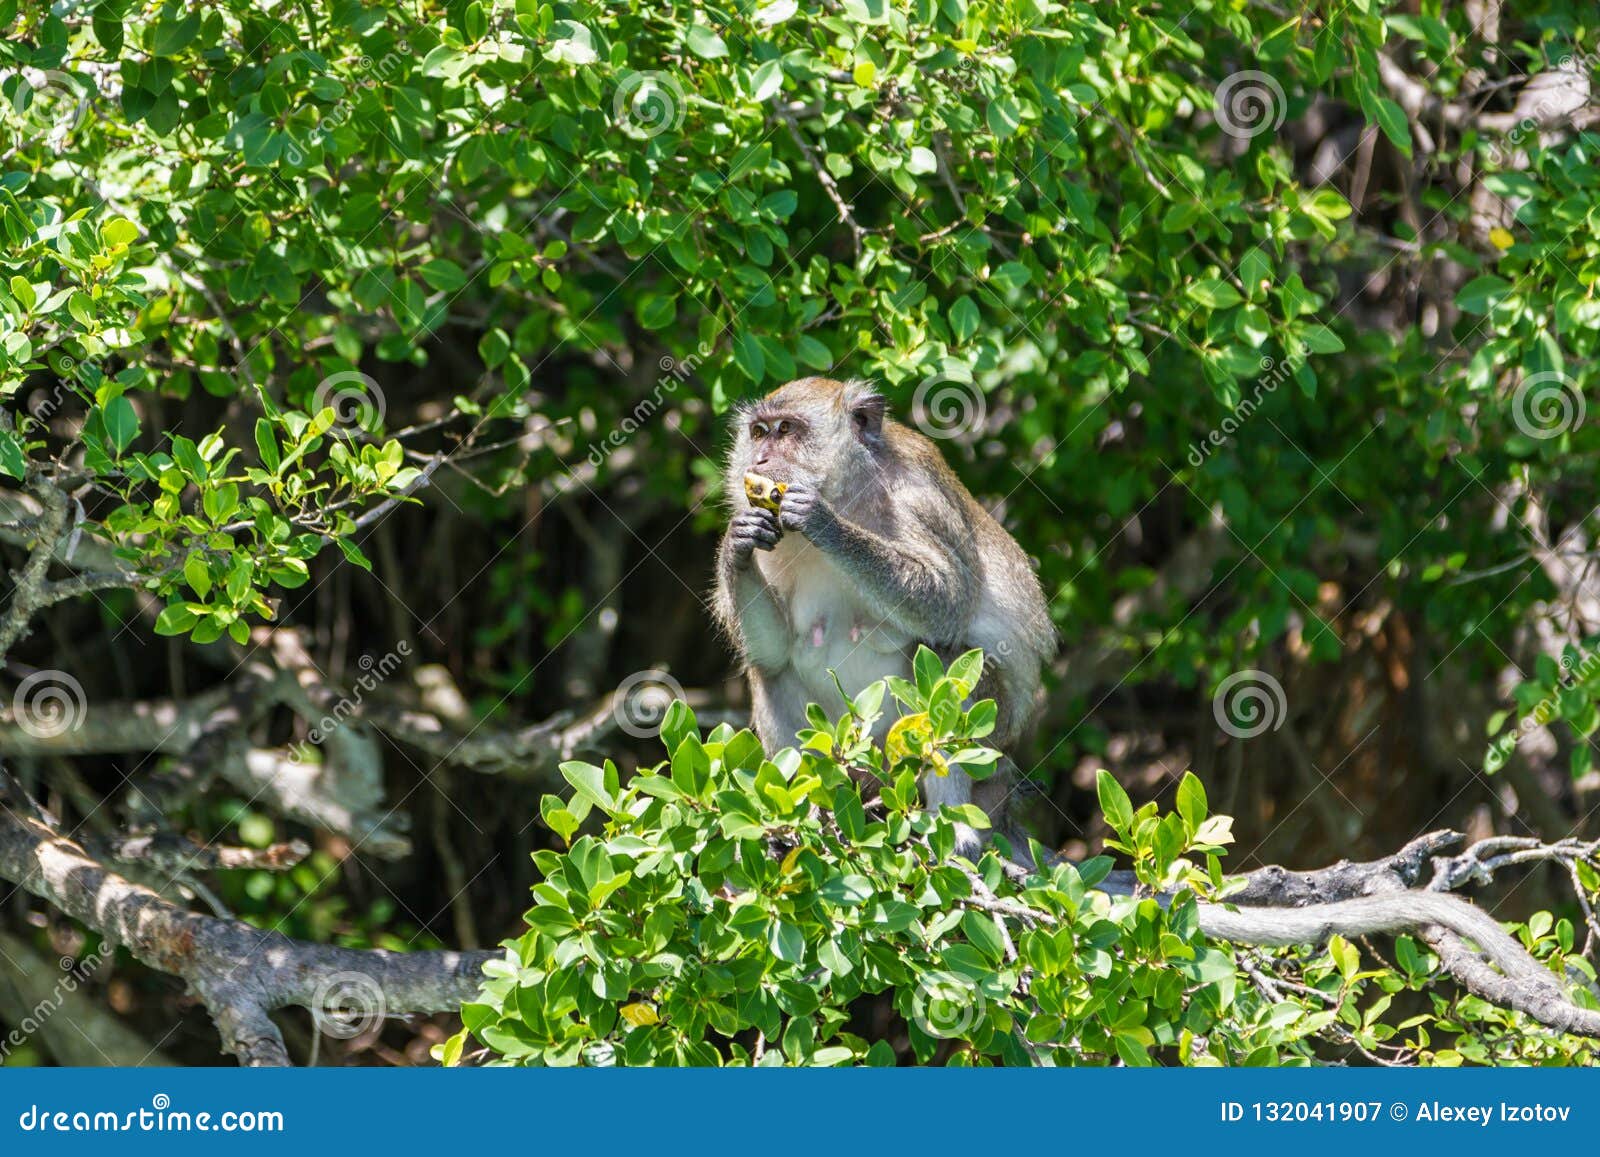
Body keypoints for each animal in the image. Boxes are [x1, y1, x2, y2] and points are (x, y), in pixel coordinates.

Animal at [713, 376, 1055, 859]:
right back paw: (799, 817)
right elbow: (774, 649)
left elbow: (949, 601)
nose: (759, 459)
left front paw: (823, 523)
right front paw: (737, 542)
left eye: (786, 430)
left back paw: (950, 822)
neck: (847, 494)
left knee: (945, 653)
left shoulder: (917, 501)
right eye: (759, 433)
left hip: (987, 751)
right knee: (770, 671)